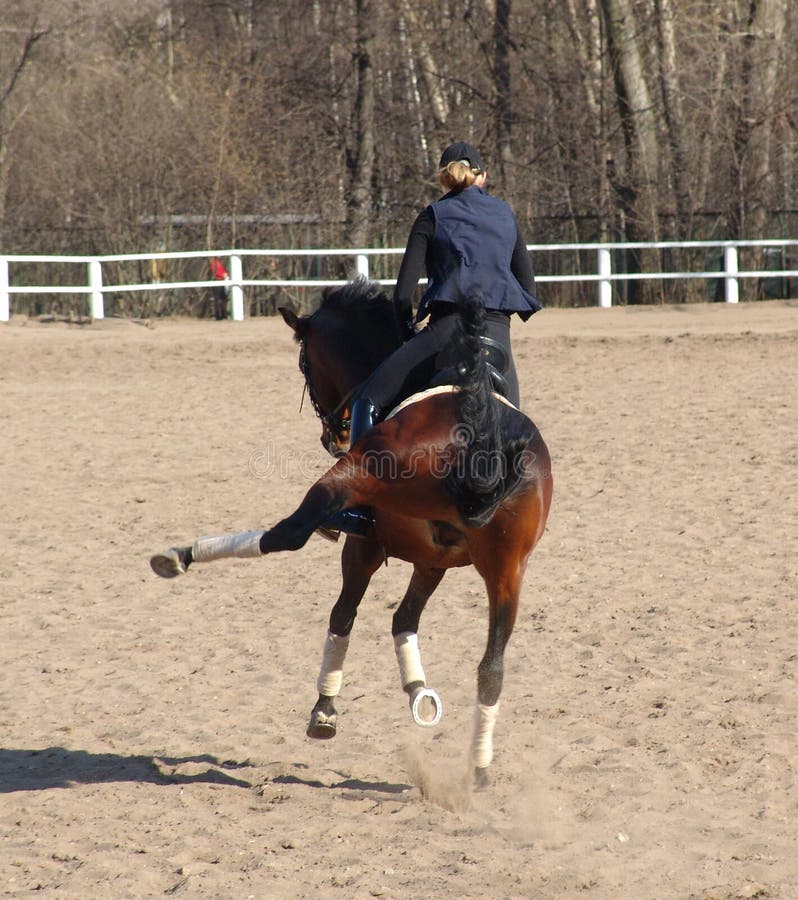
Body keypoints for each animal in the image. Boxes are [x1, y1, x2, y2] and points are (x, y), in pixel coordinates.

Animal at [150, 277, 553, 788]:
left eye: (305, 364)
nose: (333, 438)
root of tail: (480, 426)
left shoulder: (366, 544)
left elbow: (344, 615)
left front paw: (326, 709)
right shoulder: (434, 559)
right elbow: (403, 619)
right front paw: (418, 691)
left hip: (349, 487)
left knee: (288, 533)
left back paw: (180, 555)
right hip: (507, 570)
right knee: (492, 667)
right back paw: (478, 770)